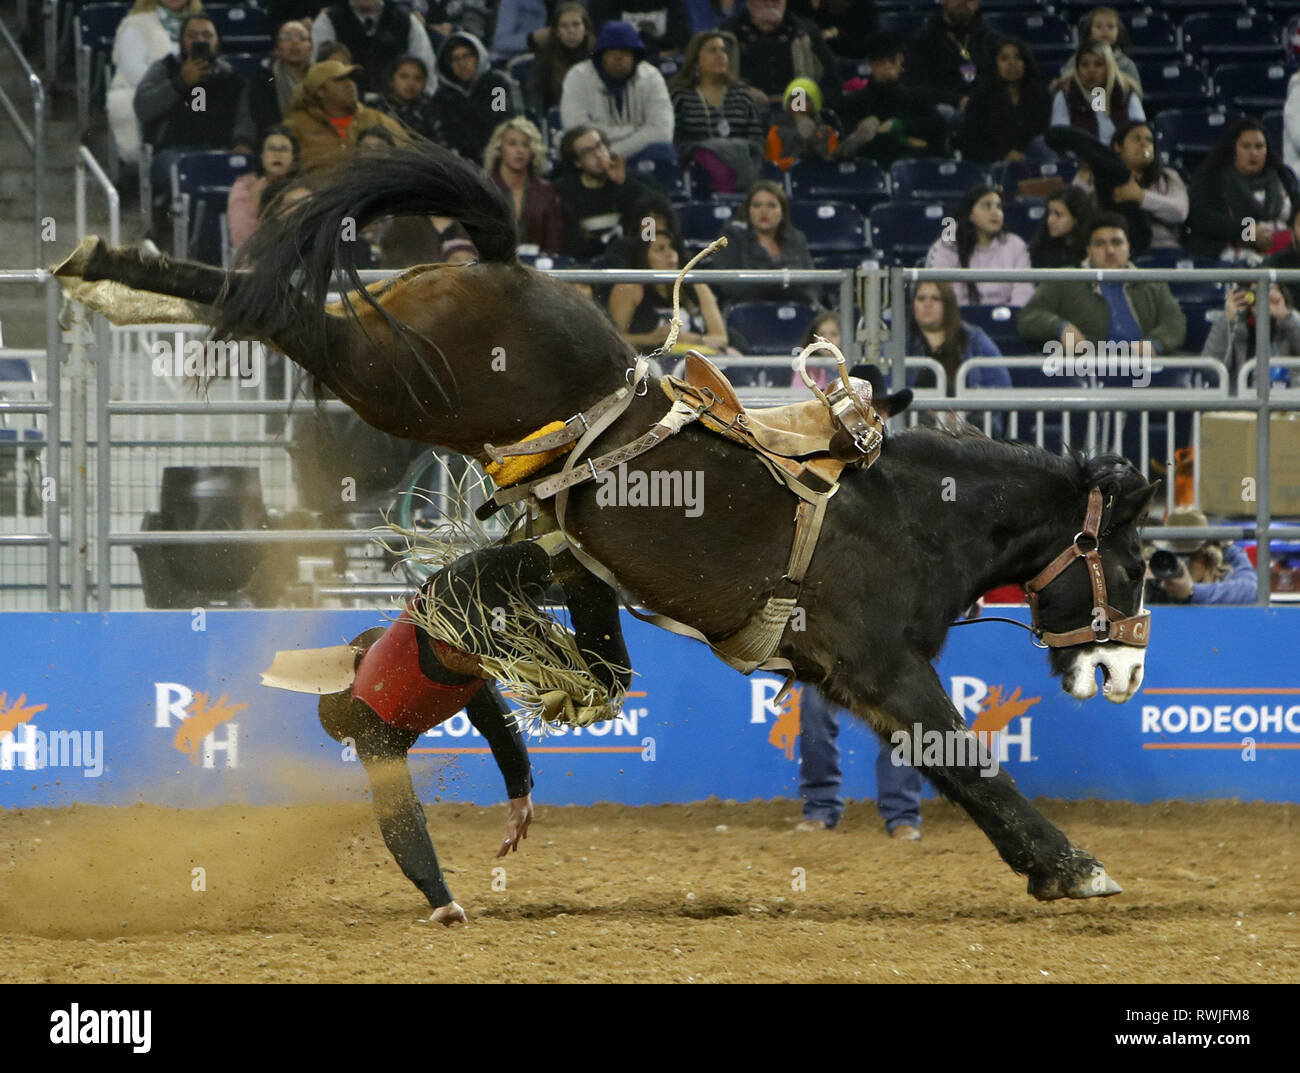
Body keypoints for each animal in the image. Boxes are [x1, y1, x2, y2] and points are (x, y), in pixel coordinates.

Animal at [55, 140, 1159, 901]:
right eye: (1140, 560)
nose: (1125, 671)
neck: (903, 516)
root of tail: (504, 263)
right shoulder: (886, 669)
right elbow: (969, 764)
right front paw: (1076, 866)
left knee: (274, 307)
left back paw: (110, 279)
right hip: (391, 377)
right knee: (270, 308)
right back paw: (108, 269)